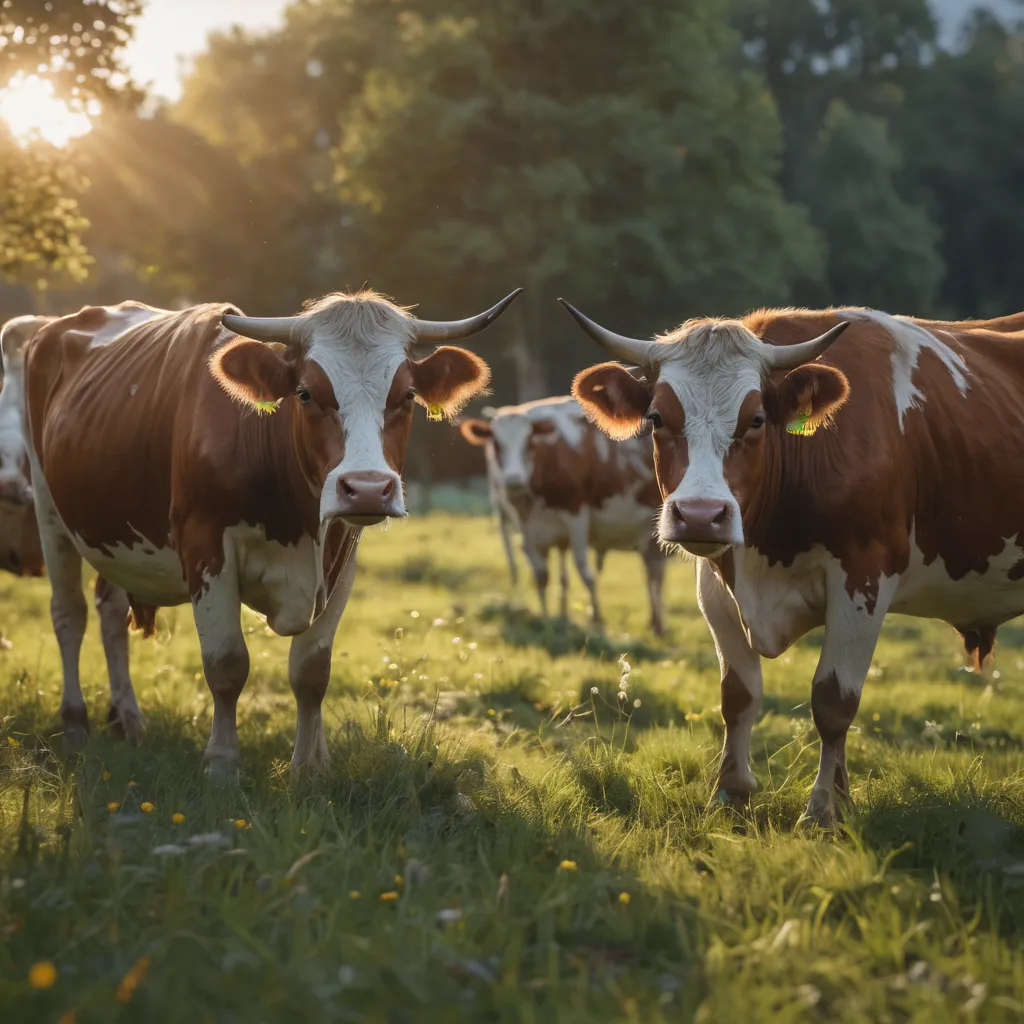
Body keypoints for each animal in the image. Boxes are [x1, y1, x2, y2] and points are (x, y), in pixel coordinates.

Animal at [24, 288, 519, 778]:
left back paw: (128, 719)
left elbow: (311, 671)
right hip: (49, 510)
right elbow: (226, 664)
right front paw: (222, 765)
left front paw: (309, 767)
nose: (366, 489)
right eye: (305, 392)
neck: (298, 522)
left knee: (110, 614)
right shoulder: (206, 545)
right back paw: (74, 724)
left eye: (408, 394)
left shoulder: (342, 555)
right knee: (69, 614)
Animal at [459, 396, 667, 635]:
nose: (513, 480)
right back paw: (654, 623)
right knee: (653, 571)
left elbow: (584, 572)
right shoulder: (530, 531)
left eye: (528, 443)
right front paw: (547, 618)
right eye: (496, 444)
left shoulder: (576, 514)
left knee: (656, 573)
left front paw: (596, 618)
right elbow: (543, 577)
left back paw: (659, 626)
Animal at [563, 298, 1024, 824]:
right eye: (657, 417)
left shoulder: (864, 579)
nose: (700, 515)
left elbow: (833, 701)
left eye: (757, 418)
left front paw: (826, 807)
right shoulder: (715, 585)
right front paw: (731, 792)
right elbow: (737, 695)